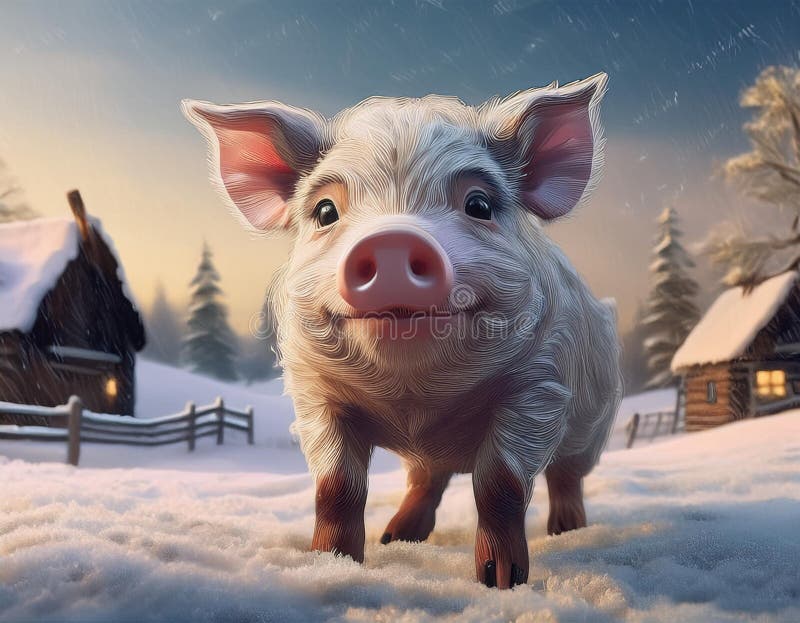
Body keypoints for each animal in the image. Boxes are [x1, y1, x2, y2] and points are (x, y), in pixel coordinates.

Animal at [182, 72, 622, 589]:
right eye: (326, 212)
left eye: (479, 205)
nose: (393, 238)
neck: (417, 399)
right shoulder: (315, 394)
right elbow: (336, 487)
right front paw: (330, 563)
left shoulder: (540, 388)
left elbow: (500, 482)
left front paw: (501, 581)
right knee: (426, 479)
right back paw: (397, 537)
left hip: (592, 421)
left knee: (567, 475)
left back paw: (567, 530)